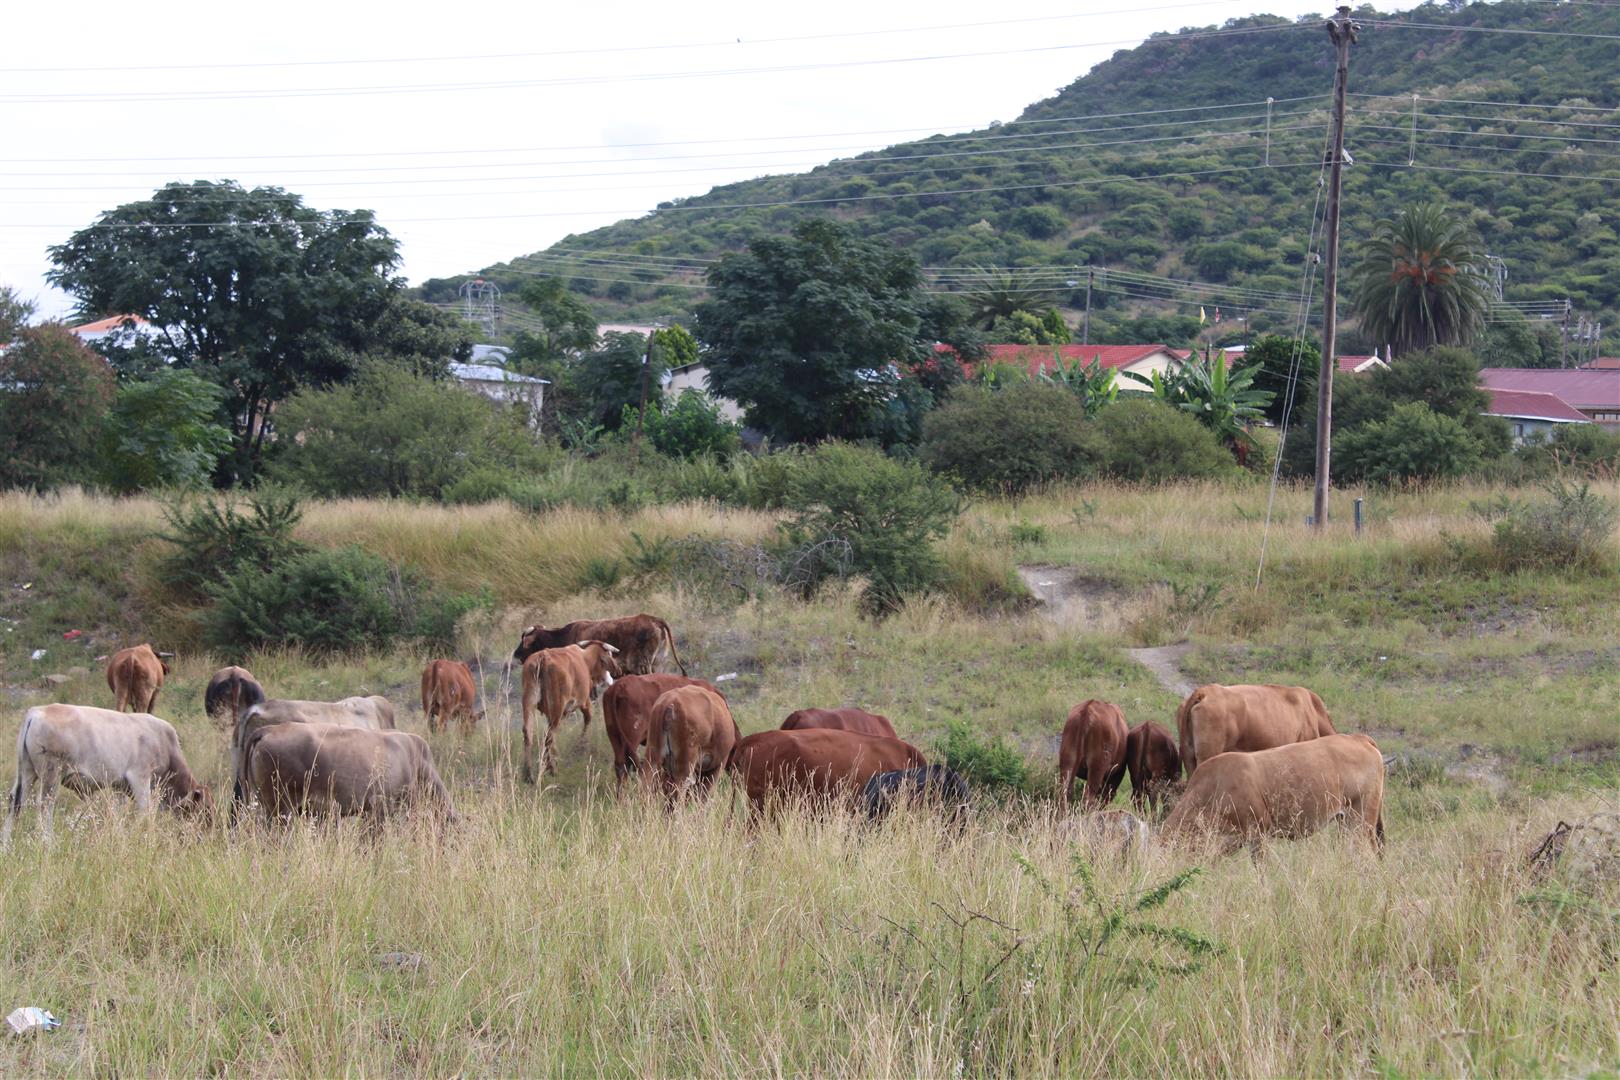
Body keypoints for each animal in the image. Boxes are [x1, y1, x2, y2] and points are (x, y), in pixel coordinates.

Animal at [4, 705, 211, 843]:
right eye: (204, 811)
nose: (205, 837)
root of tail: (38, 711)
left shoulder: (120, 786)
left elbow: (118, 813)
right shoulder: (140, 777)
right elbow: (145, 811)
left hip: (27, 772)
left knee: (15, 802)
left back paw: (6, 845)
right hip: (51, 773)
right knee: (45, 805)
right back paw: (48, 843)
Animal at [519, 641, 620, 782]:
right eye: (609, 655)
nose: (618, 671)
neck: (585, 660)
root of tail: (542, 657)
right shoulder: (583, 701)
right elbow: (588, 717)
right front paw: (581, 742)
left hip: (529, 702)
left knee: (529, 733)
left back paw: (528, 774)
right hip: (557, 706)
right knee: (548, 736)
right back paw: (552, 769)